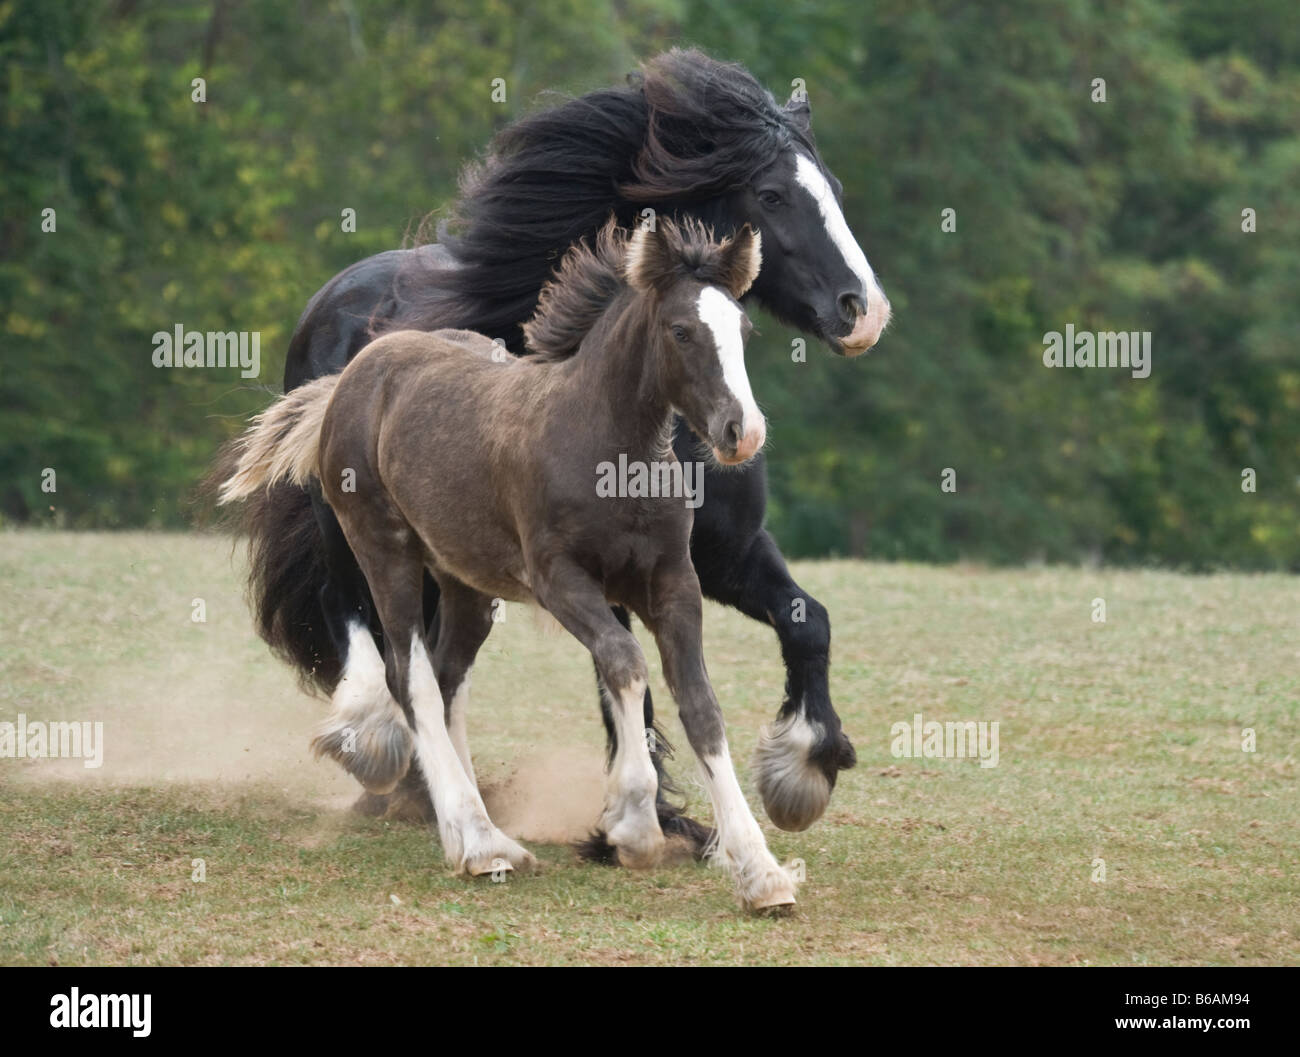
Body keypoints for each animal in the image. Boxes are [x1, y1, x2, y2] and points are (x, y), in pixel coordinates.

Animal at [220, 219, 800, 911]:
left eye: (743, 329)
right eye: (682, 330)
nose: (743, 432)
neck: (606, 447)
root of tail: (357, 370)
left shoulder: (671, 583)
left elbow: (701, 706)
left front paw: (761, 870)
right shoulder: (560, 580)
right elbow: (625, 664)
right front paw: (632, 824)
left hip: (464, 581)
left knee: (447, 679)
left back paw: (467, 825)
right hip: (383, 548)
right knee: (410, 677)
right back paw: (479, 843)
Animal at [232, 48, 890, 852]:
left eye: (833, 189)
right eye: (770, 194)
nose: (862, 310)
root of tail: (336, 300)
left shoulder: (721, 553)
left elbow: (807, 621)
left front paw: (800, 771)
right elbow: (626, 678)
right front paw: (639, 820)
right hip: (351, 521)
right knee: (355, 612)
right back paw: (374, 743)